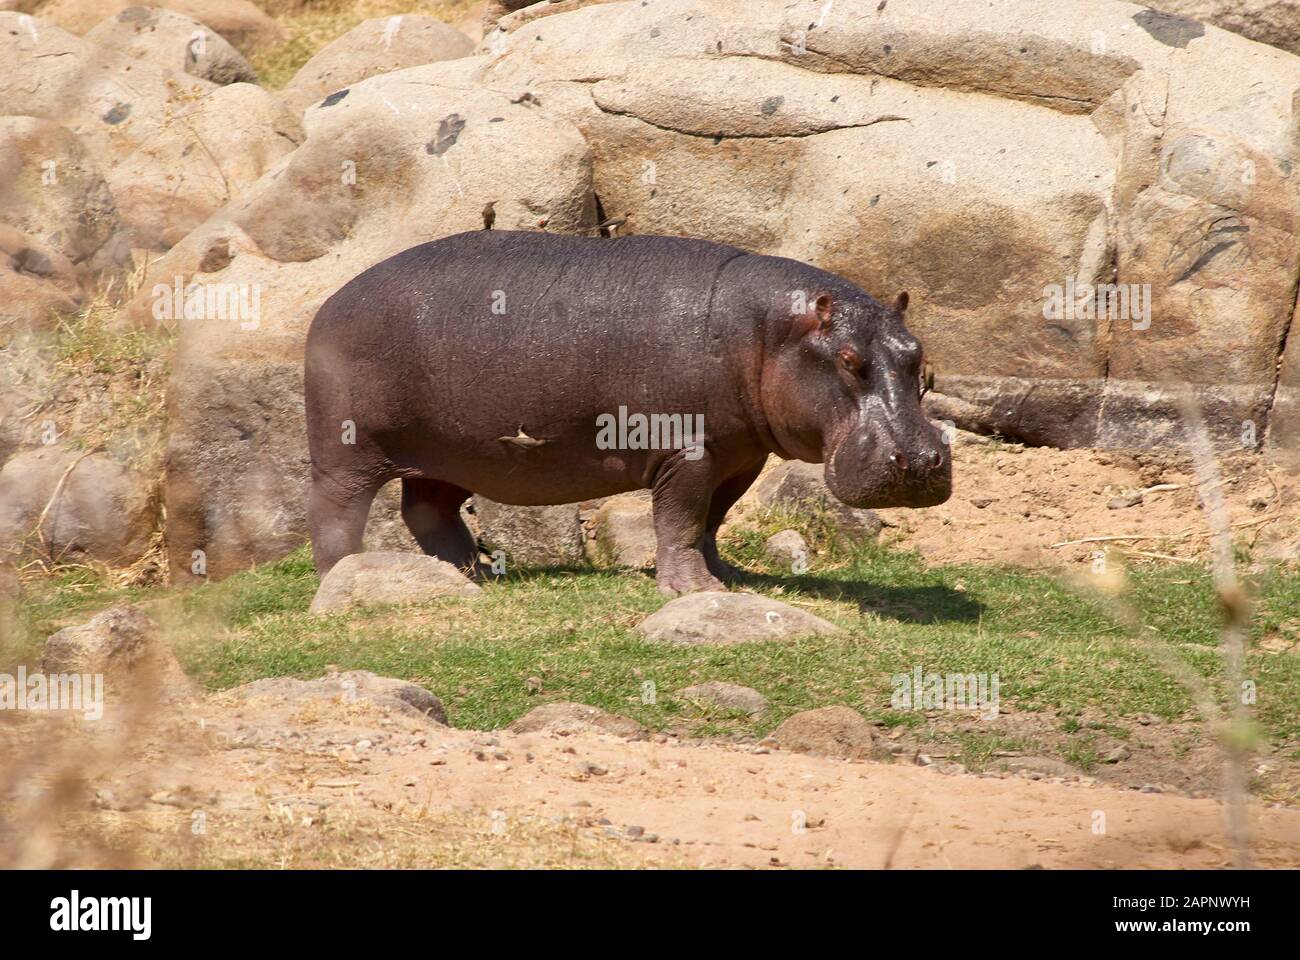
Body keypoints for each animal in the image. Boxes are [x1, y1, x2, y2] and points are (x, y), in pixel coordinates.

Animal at [305, 231, 951, 594]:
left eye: (918, 355)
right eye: (848, 361)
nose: (922, 460)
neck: (768, 333)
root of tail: (330, 301)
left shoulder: (740, 456)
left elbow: (711, 520)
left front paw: (728, 578)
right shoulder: (688, 452)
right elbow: (681, 519)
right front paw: (691, 591)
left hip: (449, 452)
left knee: (428, 511)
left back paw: (475, 576)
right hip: (348, 452)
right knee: (337, 513)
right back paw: (344, 576)